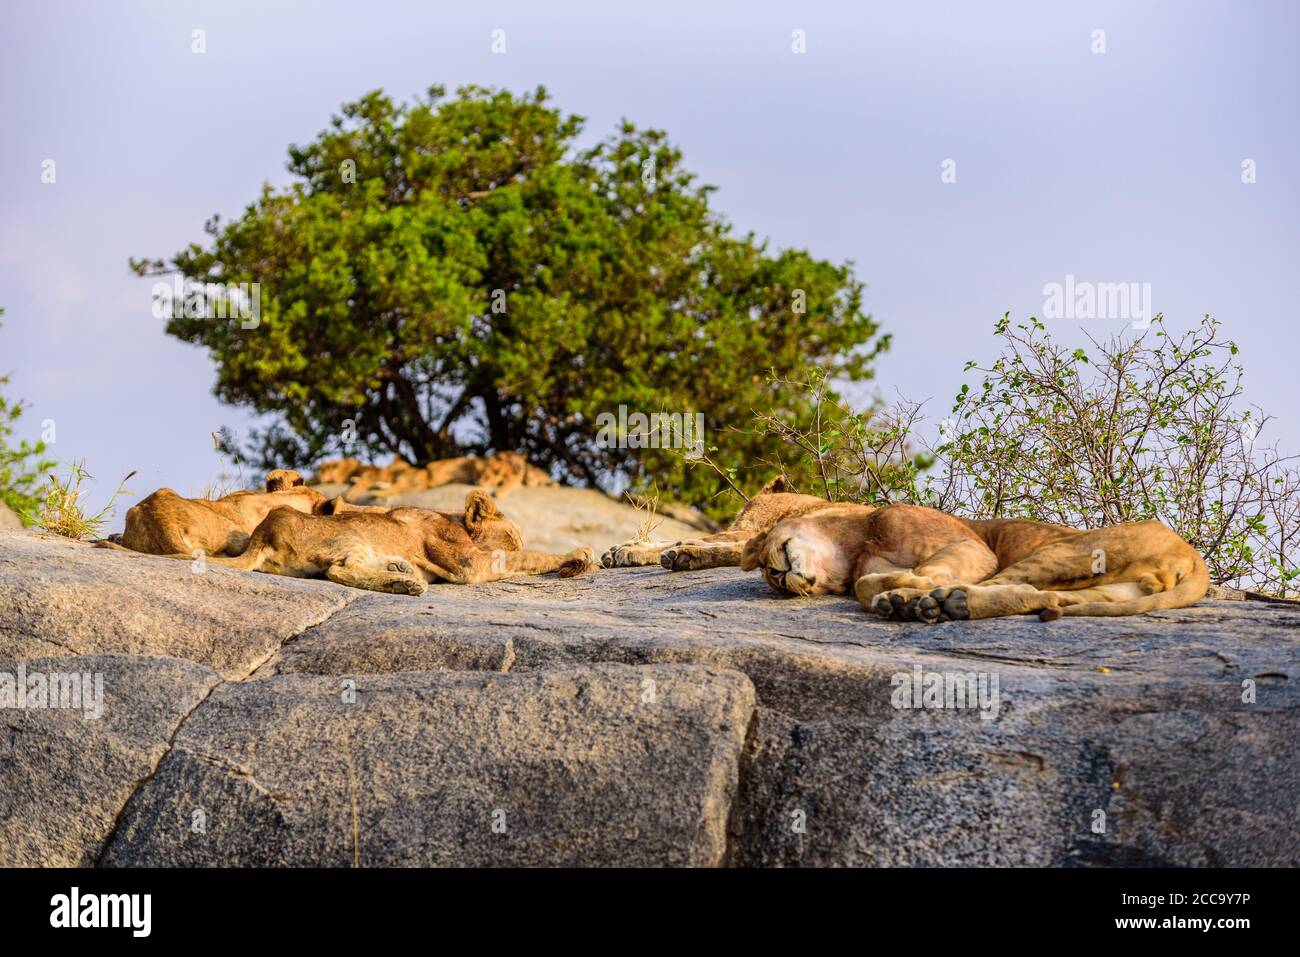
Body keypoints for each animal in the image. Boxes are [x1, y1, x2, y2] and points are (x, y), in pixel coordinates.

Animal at [188, 490, 593, 595]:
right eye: (511, 536)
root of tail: (261, 534)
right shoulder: (470, 564)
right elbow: (528, 557)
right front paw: (580, 553)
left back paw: (401, 571)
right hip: (351, 533)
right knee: (339, 572)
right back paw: (405, 583)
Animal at [740, 502, 1209, 621]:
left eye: (765, 561)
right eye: (771, 581)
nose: (779, 576)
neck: (854, 547)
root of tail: (1194, 557)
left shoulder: (975, 547)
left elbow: (866, 585)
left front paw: (907, 584)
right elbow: (864, 585)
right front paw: (897, 590)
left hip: (1061, 549)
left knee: (1013, 585)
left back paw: (931, 601)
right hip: (1106, 587)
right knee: (1041, 596)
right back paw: (934, 604)